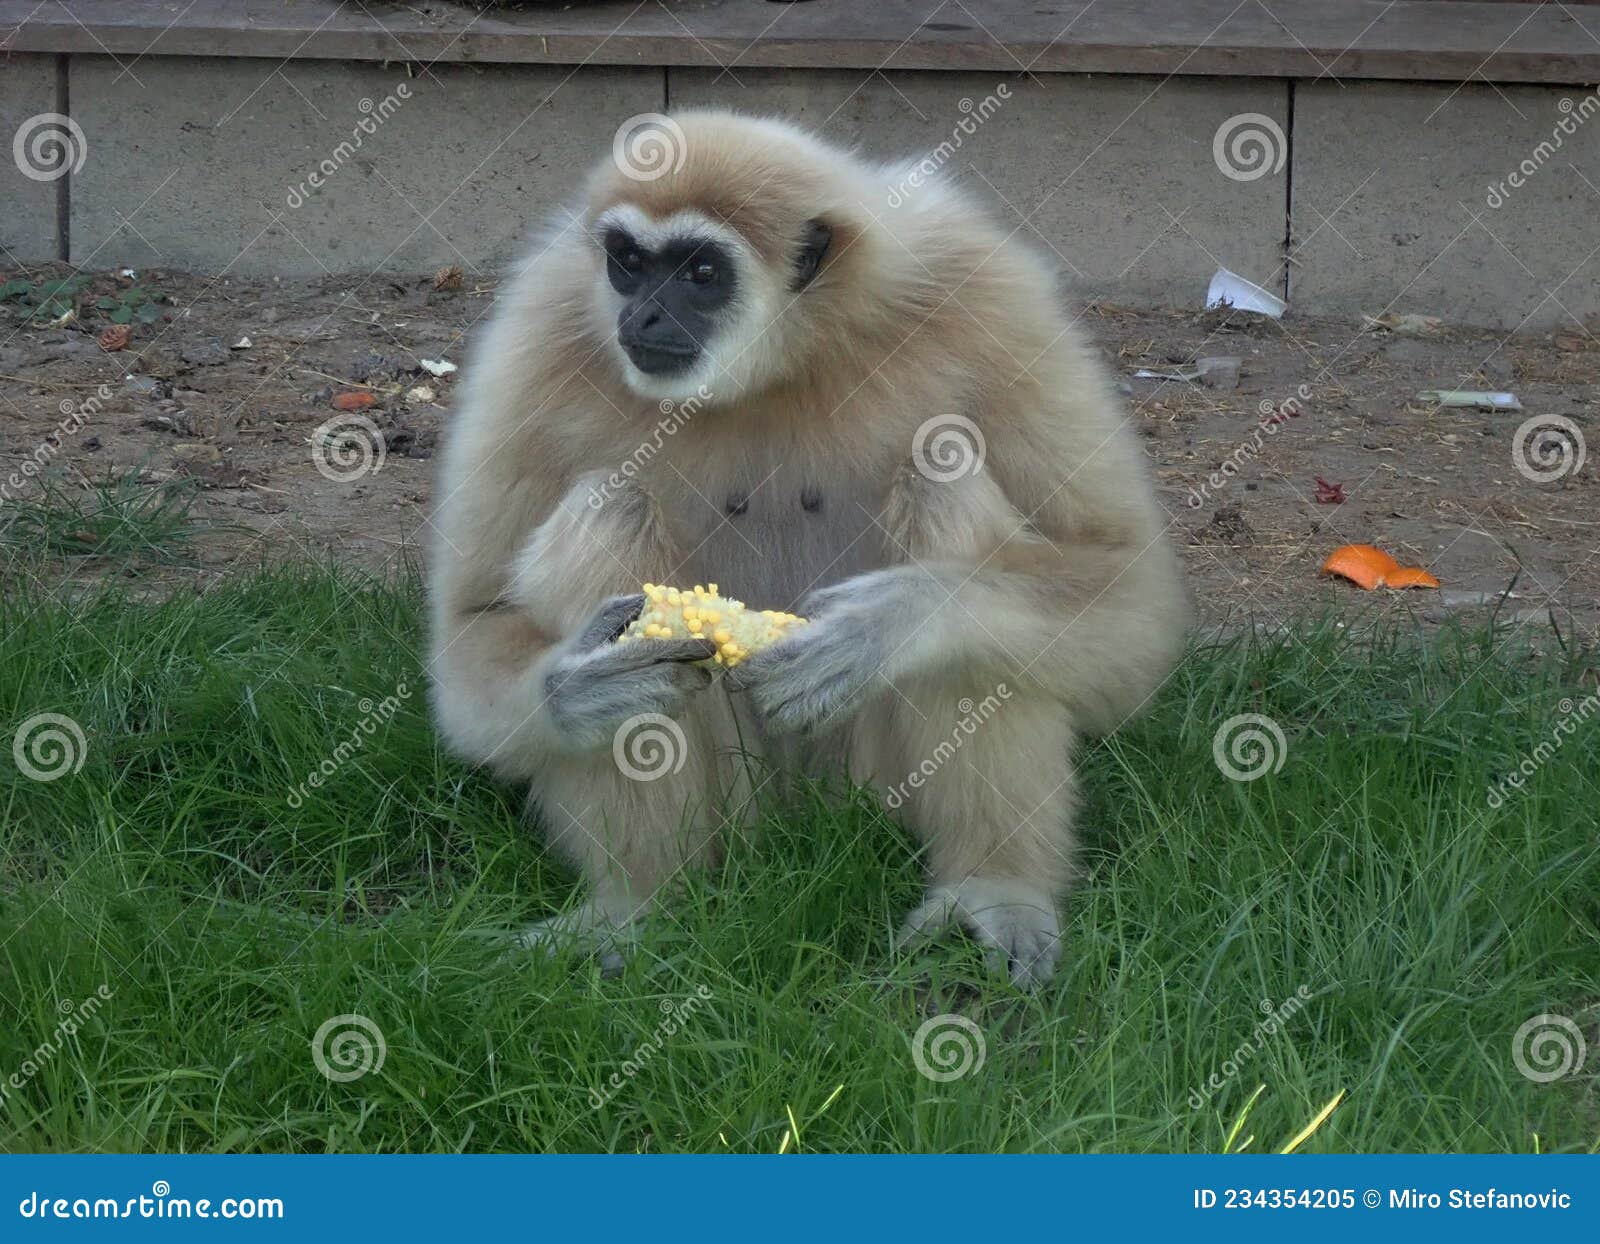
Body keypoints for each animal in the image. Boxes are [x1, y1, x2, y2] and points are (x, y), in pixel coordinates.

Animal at [427, 110, 1185, 987]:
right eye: (628, 261)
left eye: (700, 270)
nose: (642, 316)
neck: (781, 360)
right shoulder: (540, 324)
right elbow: (474, 621)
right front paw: (573, 686)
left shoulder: (989, 294)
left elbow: (1126, 583)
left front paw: (894, 621)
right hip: (743, 809)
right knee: (607, 506)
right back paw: (636, 904)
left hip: (870, 786)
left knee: (945, 480)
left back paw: (992, 888)